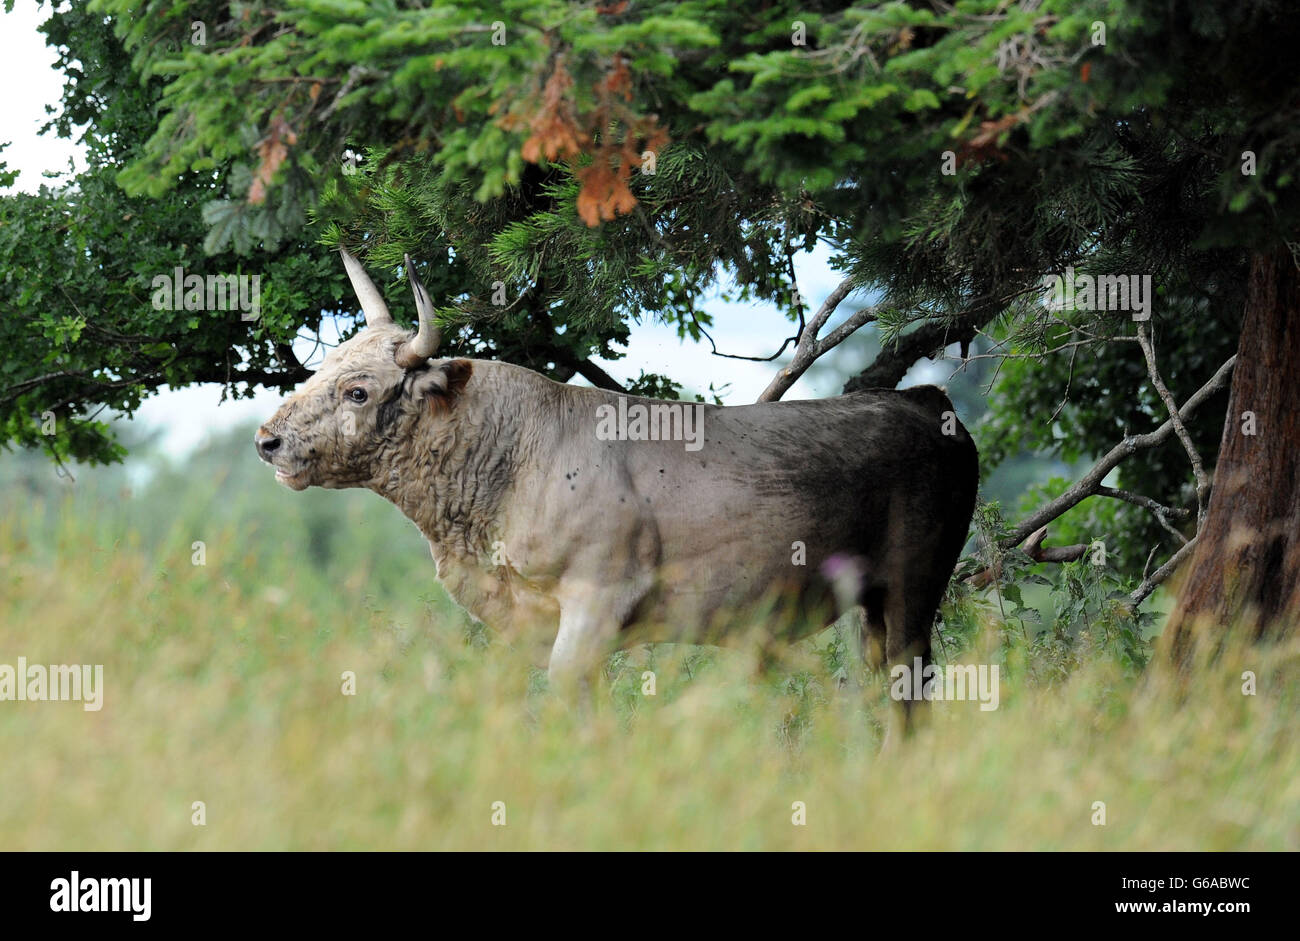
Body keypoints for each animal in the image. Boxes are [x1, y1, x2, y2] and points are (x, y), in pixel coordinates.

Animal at [255, 250, 979, 727]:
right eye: (326, 364)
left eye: (358, 390)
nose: (268, 440)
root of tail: (921, 400)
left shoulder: (596, 600)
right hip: (871, 606)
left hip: (914, 588)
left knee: (909, 696)